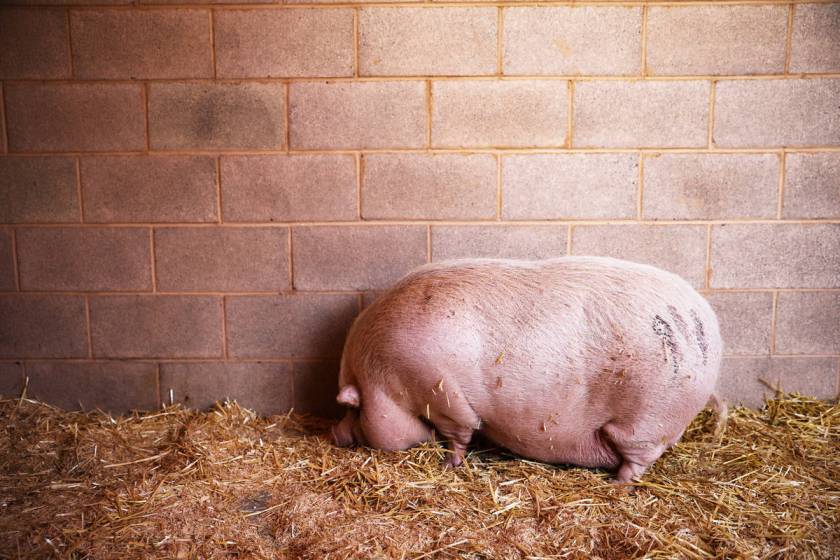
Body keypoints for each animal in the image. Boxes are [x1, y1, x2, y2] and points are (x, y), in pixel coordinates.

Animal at [331, 256, 724, 482]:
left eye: (352, 408)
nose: (333, 434)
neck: (382, 376)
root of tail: (712, 328)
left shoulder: (440, 392)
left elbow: (460, 432)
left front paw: (447, 465)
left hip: (647, 421)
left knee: (639, 460)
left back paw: (616, 484)